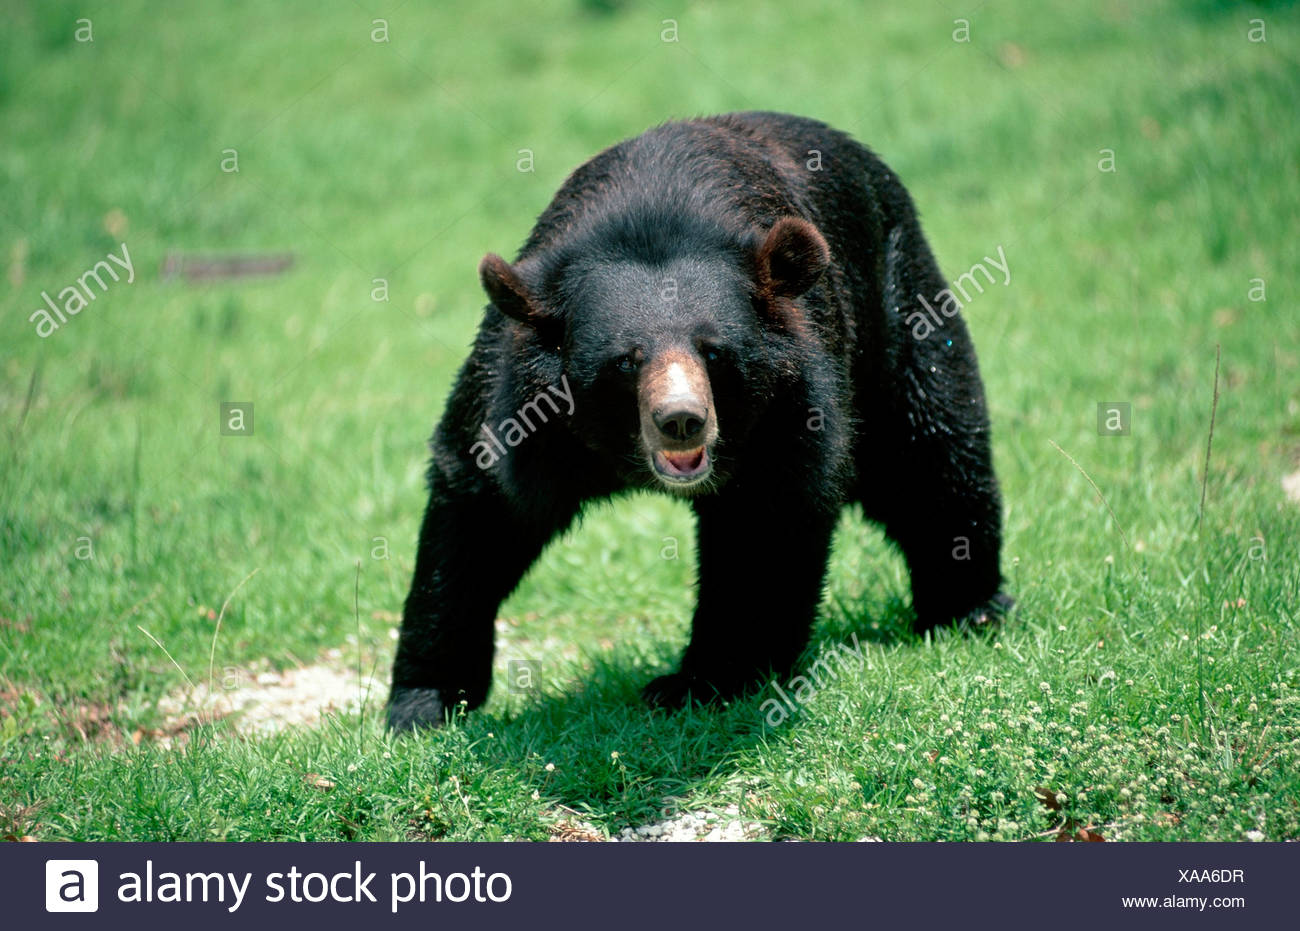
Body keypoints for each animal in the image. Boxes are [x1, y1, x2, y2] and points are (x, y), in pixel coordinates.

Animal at [387, 111, 1012, 732]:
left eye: (713, 350)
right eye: (626, 359)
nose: (682, 420)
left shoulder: (792, 403)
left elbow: (762, 527)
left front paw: (698, 684)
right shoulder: (516, 398)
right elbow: (479, 505)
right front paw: (423, 703)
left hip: (900, 305)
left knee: (932, 446)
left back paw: (969, 610)